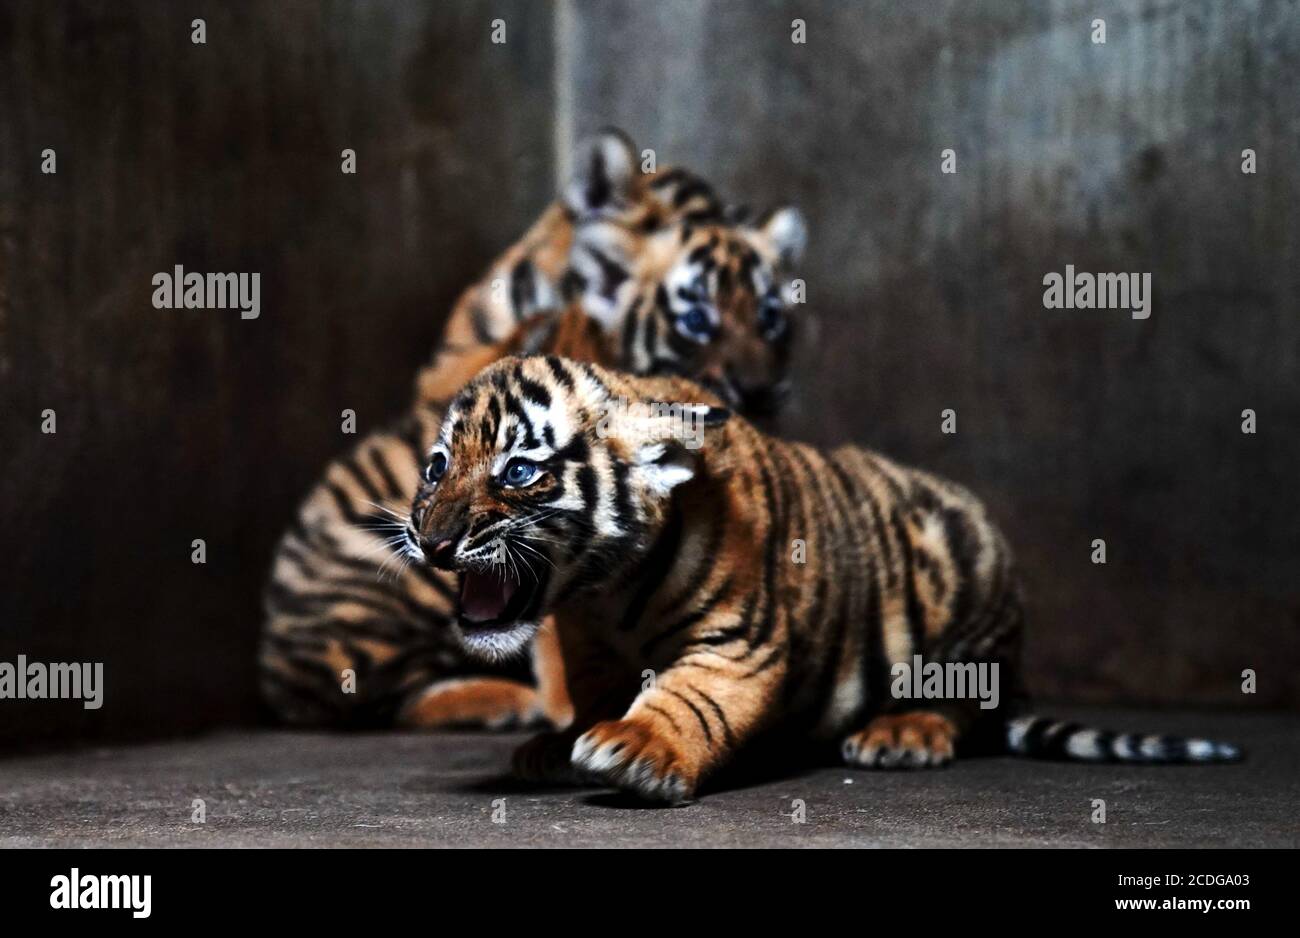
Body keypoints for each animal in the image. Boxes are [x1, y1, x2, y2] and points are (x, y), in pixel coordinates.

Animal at [258, 130, 808, 731]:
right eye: (696, 321)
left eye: (771, 318)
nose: (762, 392)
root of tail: (273, 667)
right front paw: (571, 705)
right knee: (381, 694)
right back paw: (504, 701)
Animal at [405, 355, 1244, 804]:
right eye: (436, 467)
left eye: (519, 471)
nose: (434, 541)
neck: (603, 591)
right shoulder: (593, 646)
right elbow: (596, 689)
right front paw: (559, 741)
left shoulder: (739, 642)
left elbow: (691, 695)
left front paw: (636, 746)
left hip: (966, 578)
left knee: (961, 699)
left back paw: (902, 733)